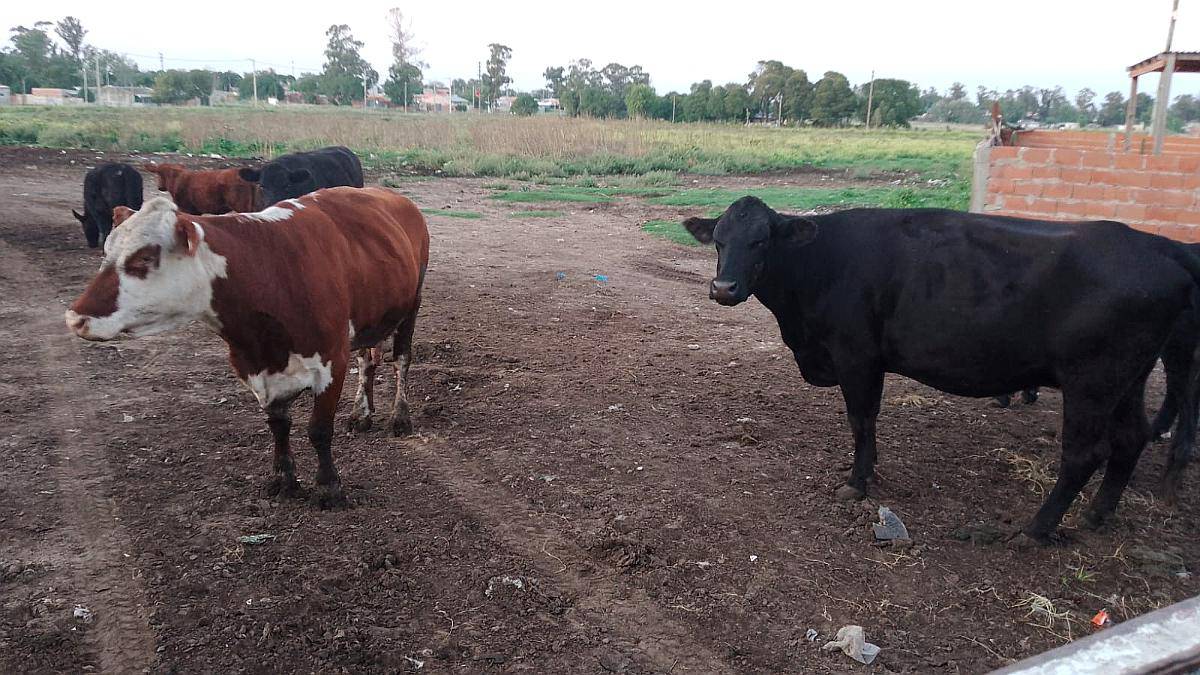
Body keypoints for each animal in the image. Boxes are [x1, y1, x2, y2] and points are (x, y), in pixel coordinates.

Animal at [64, 187, 429, 507]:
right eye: (106, 251)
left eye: (144, 257)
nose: (75, 318)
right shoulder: (255, 366)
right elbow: (278, 425)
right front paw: (283, 480)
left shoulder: (332, 359)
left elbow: (319, 430)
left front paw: (329, 488)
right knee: (368, 361)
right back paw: (361, 413)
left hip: (411, 305)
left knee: (401, 360)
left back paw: (400, 416)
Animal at [683, 196, 1200, 544]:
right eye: (720, 241)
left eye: (761, 240)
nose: (724, 288)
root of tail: (1160, 246)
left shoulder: (856, 356)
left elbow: (861, 420)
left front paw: (857, 483)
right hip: (1129, 379)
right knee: (1130, 438)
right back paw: (1096, 515)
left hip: (1092, 381)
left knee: (1083, 454)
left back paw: (1035, 530)